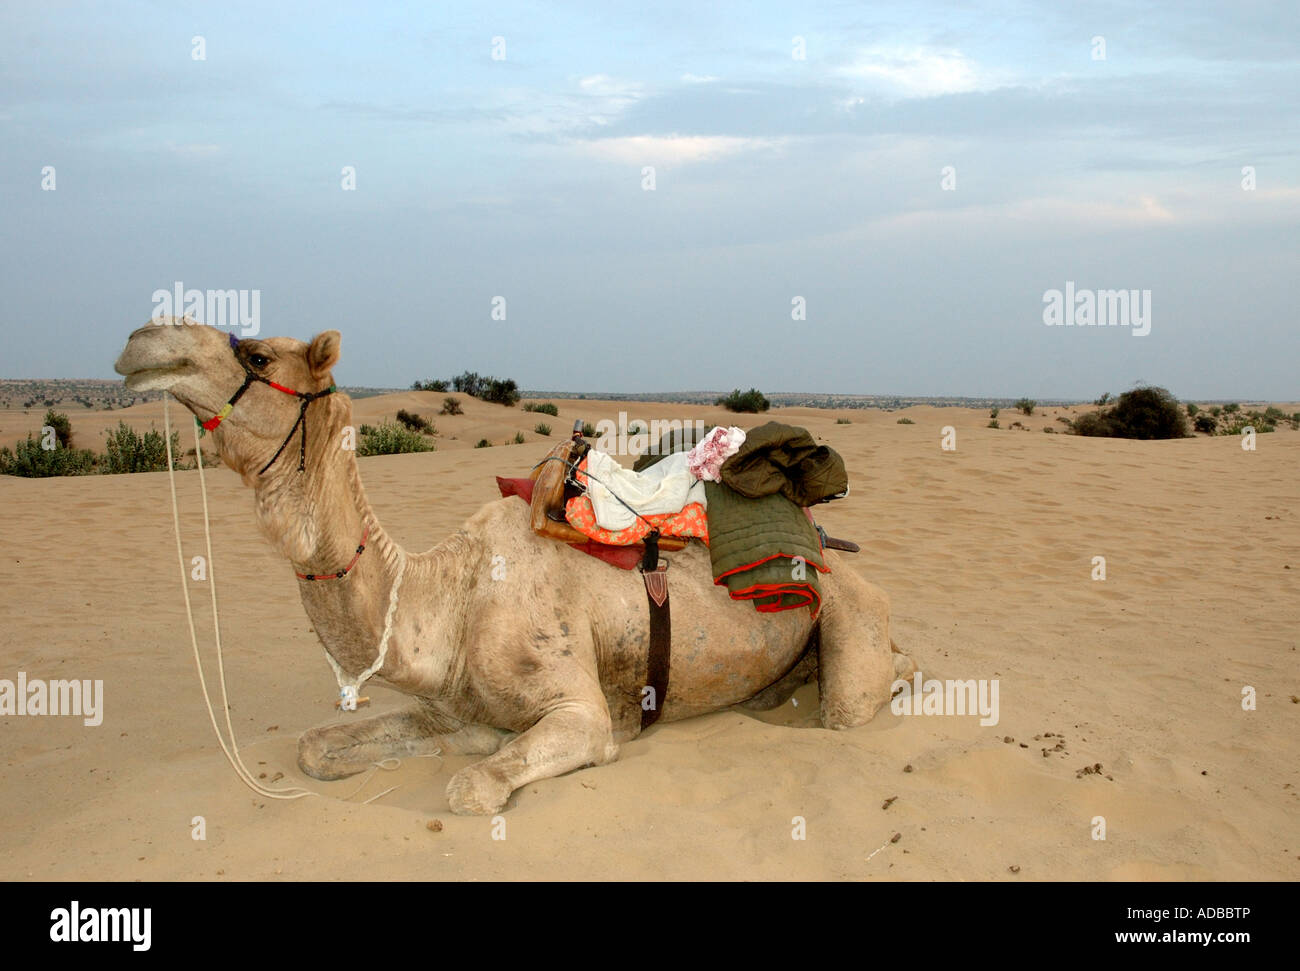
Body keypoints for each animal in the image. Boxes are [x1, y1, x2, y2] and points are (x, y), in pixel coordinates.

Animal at [115, 319, 914, 814]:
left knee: (855, 698)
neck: (451, 597)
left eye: (254, 355)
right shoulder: (447, 707)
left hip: (848, 618)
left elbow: (472, 788)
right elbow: (315, 747)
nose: (139, 339)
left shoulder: (580, 714)